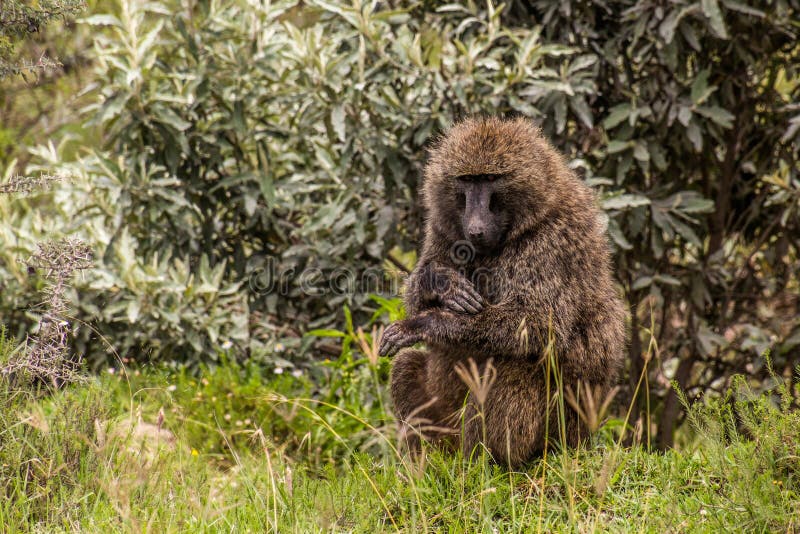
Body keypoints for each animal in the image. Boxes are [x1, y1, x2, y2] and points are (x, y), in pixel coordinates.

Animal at [379, 117, 627, 466]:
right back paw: (425, 469)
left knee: (511, 366)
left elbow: (537, 323)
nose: (475, 229)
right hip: (448, 426)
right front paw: (441, 282)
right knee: (406, 365)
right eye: (467, 180)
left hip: (559, 433)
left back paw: (483, 466)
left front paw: (423, 325)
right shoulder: (442, 227)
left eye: (490, 179)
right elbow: (416, 296)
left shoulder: (551, 242)